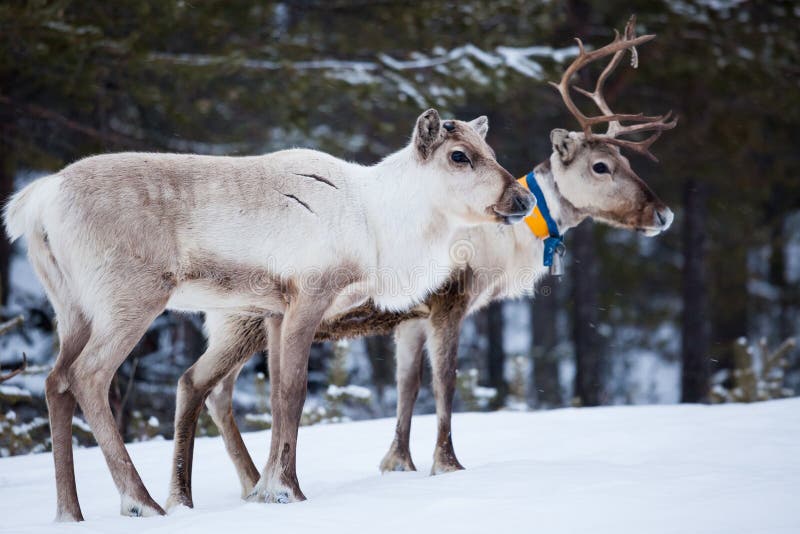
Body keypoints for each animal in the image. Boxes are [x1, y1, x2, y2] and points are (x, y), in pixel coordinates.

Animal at [3, 108, 534, 521]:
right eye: (459, 155)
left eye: (488, 148)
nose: (523, 198)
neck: (379, 229)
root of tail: (36, 203)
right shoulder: (309, 294)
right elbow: (294, 394)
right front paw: (286, 490)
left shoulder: (274, 311)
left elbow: (278, 397)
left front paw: (265, 489)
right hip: (128, 297)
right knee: (88, 376)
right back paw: (142, 502)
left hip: (71, 308)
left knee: (54, 380)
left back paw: (70, 512)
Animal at [165, 15, 677, 506]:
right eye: (601, 166)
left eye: (626, 162)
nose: (664, 213)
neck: (505, 247)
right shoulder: (450, 300)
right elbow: (445, 382)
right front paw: (447, 464)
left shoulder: (410, 315)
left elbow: (407, 386)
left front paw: (399, 463)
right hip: (242, 320)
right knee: (201, 386)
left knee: (218, 392)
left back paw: (249, 482)